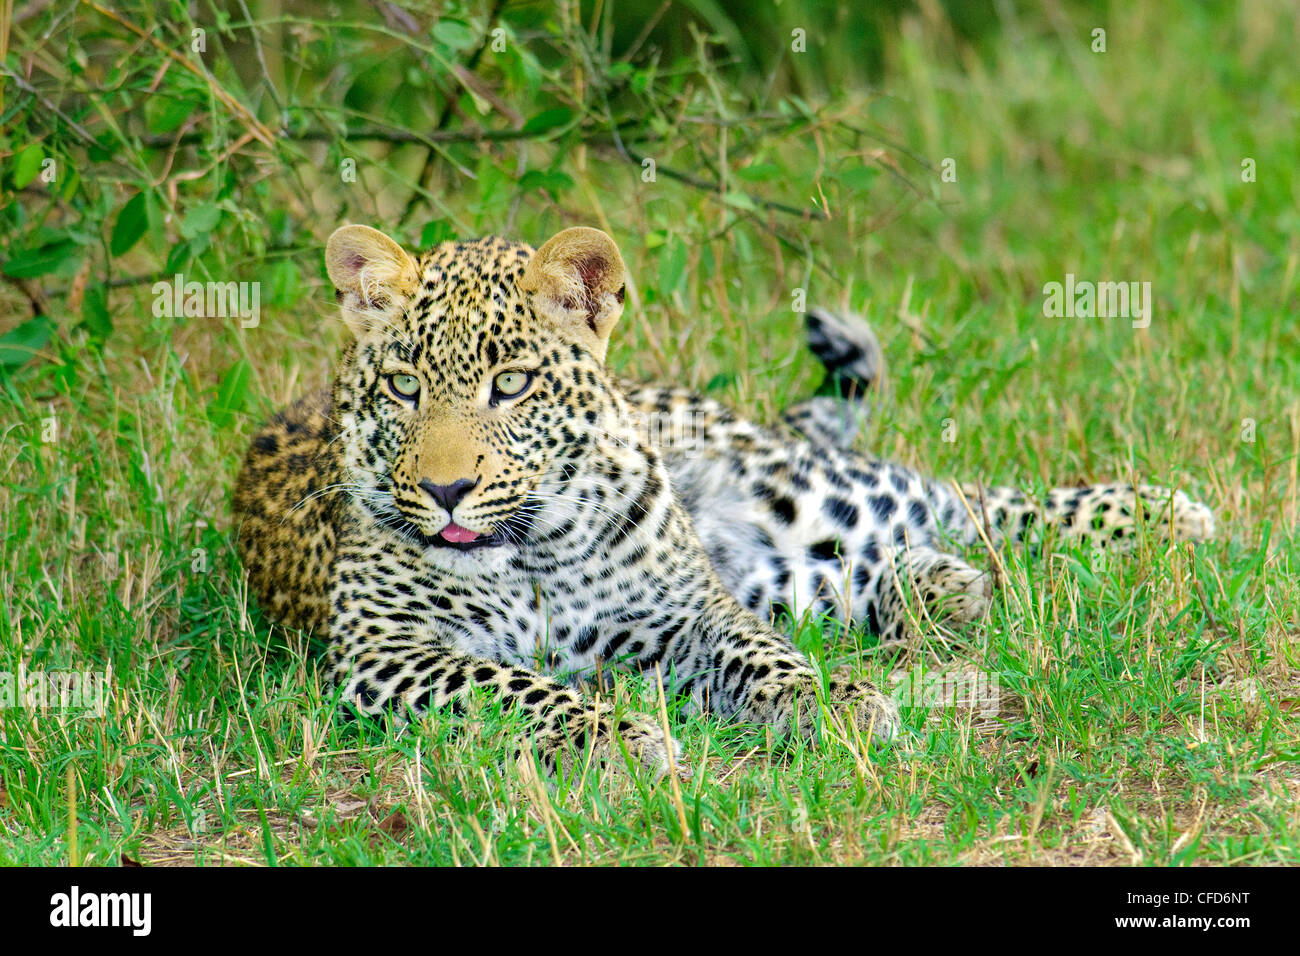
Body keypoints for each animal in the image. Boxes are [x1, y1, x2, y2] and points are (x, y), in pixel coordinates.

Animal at [232, 224, 1215, 777]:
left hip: (803, 486)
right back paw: (938, 592)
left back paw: (1164, 515)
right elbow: (513, 685)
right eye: (403, 387)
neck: (531, 549)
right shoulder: (386, 650)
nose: (445, 490)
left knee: (962, 498)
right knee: (836, 575)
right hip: (776, 547)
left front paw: (829, 702)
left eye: (510, 384)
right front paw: (614, 740)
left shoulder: (688, 612)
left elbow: (762, 655)